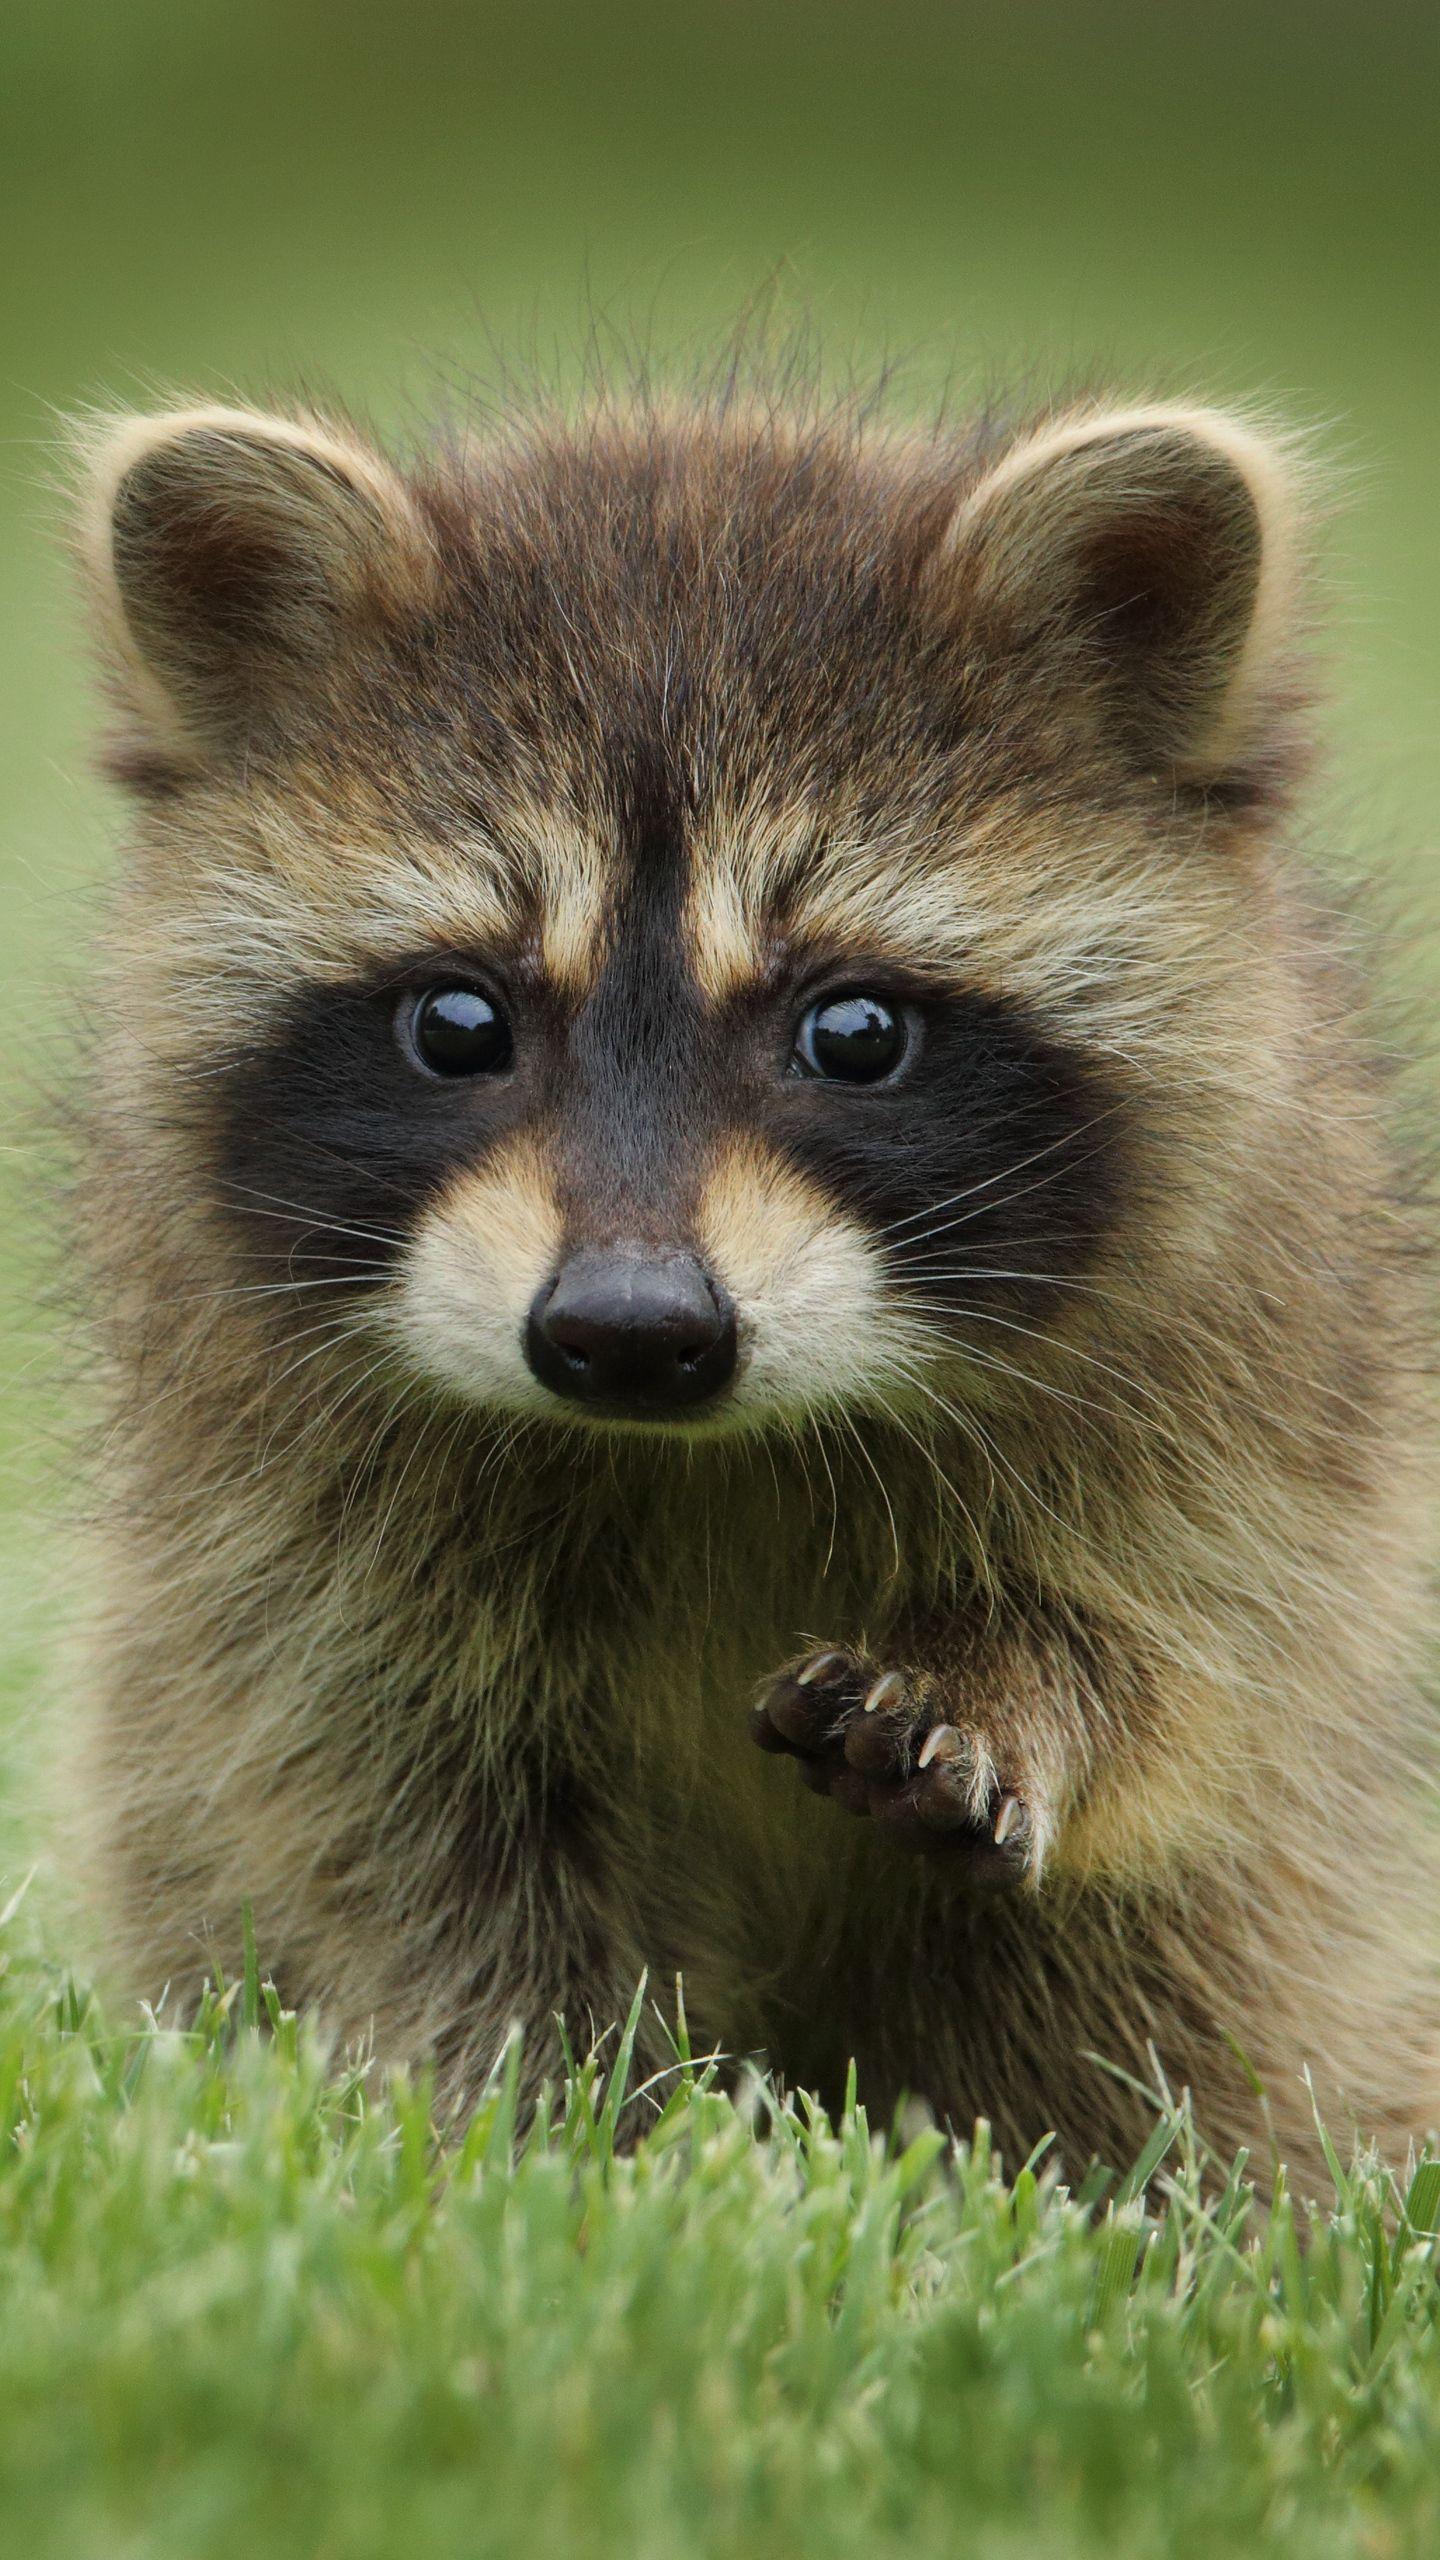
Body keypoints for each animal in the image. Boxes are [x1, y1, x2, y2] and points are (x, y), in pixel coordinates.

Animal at [64, 376, 1437, 2182]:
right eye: (458, 1023)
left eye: (853, 1032)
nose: (631, 1334)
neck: (699, 1452)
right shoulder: (283, 1520)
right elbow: (404, 1821)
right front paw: (575, 2129)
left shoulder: (1257, 1365)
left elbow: (1194, 1649)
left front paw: (1016, 1679)